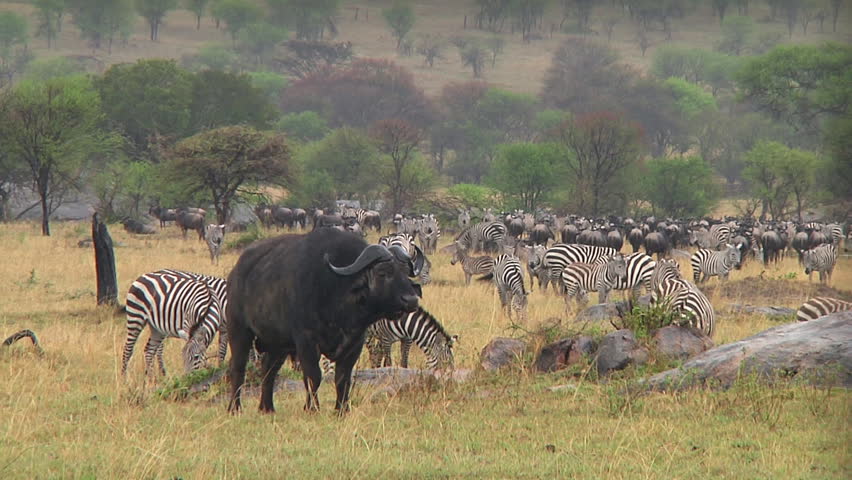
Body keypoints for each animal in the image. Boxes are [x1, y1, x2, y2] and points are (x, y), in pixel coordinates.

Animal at [226, 229, 421, 414]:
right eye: (383, 272)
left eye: (405, 272)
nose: (411, 300)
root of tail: (235, 273)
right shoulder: (306, 341)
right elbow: (313, 376)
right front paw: (312, 408)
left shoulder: (355, 343)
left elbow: (343, 378)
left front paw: (342, 409)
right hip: (238, 329)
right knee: (238, 368)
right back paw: (234, 408)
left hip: (278, 343)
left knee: (268, 369)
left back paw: (267, 407)